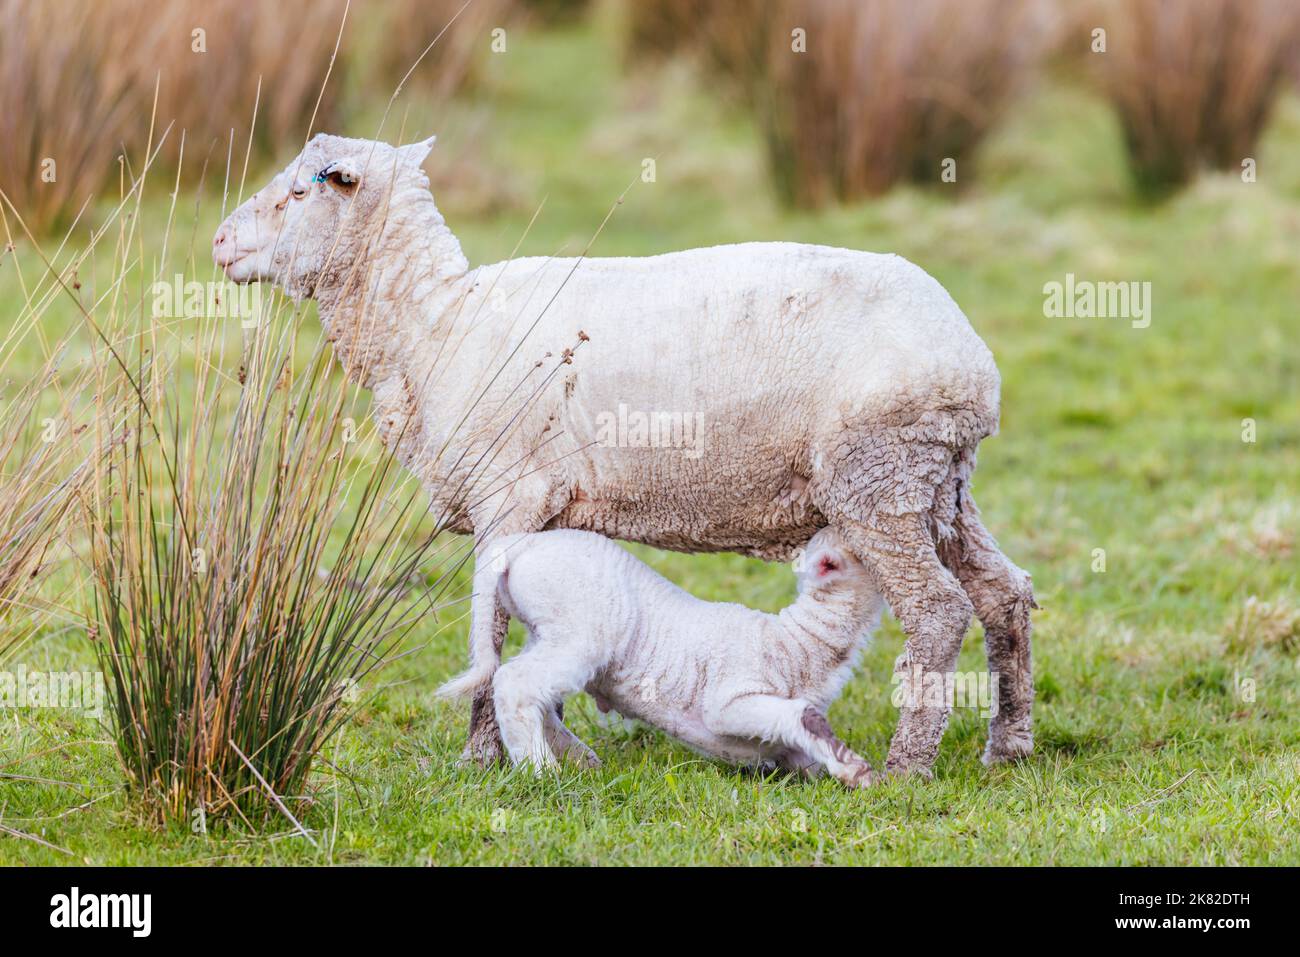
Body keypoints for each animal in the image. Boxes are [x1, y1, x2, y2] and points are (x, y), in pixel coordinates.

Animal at [439, 528, 884, 785]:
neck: (800, 642)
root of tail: (519, 544)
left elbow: (806, 748)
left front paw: (855, 773)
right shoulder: (729, 700)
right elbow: (801, 716)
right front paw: (860, 772)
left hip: (547, 629)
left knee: (538, 693)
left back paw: (579, 759)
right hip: (579, 629)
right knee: (515, 684)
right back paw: (541, 771)